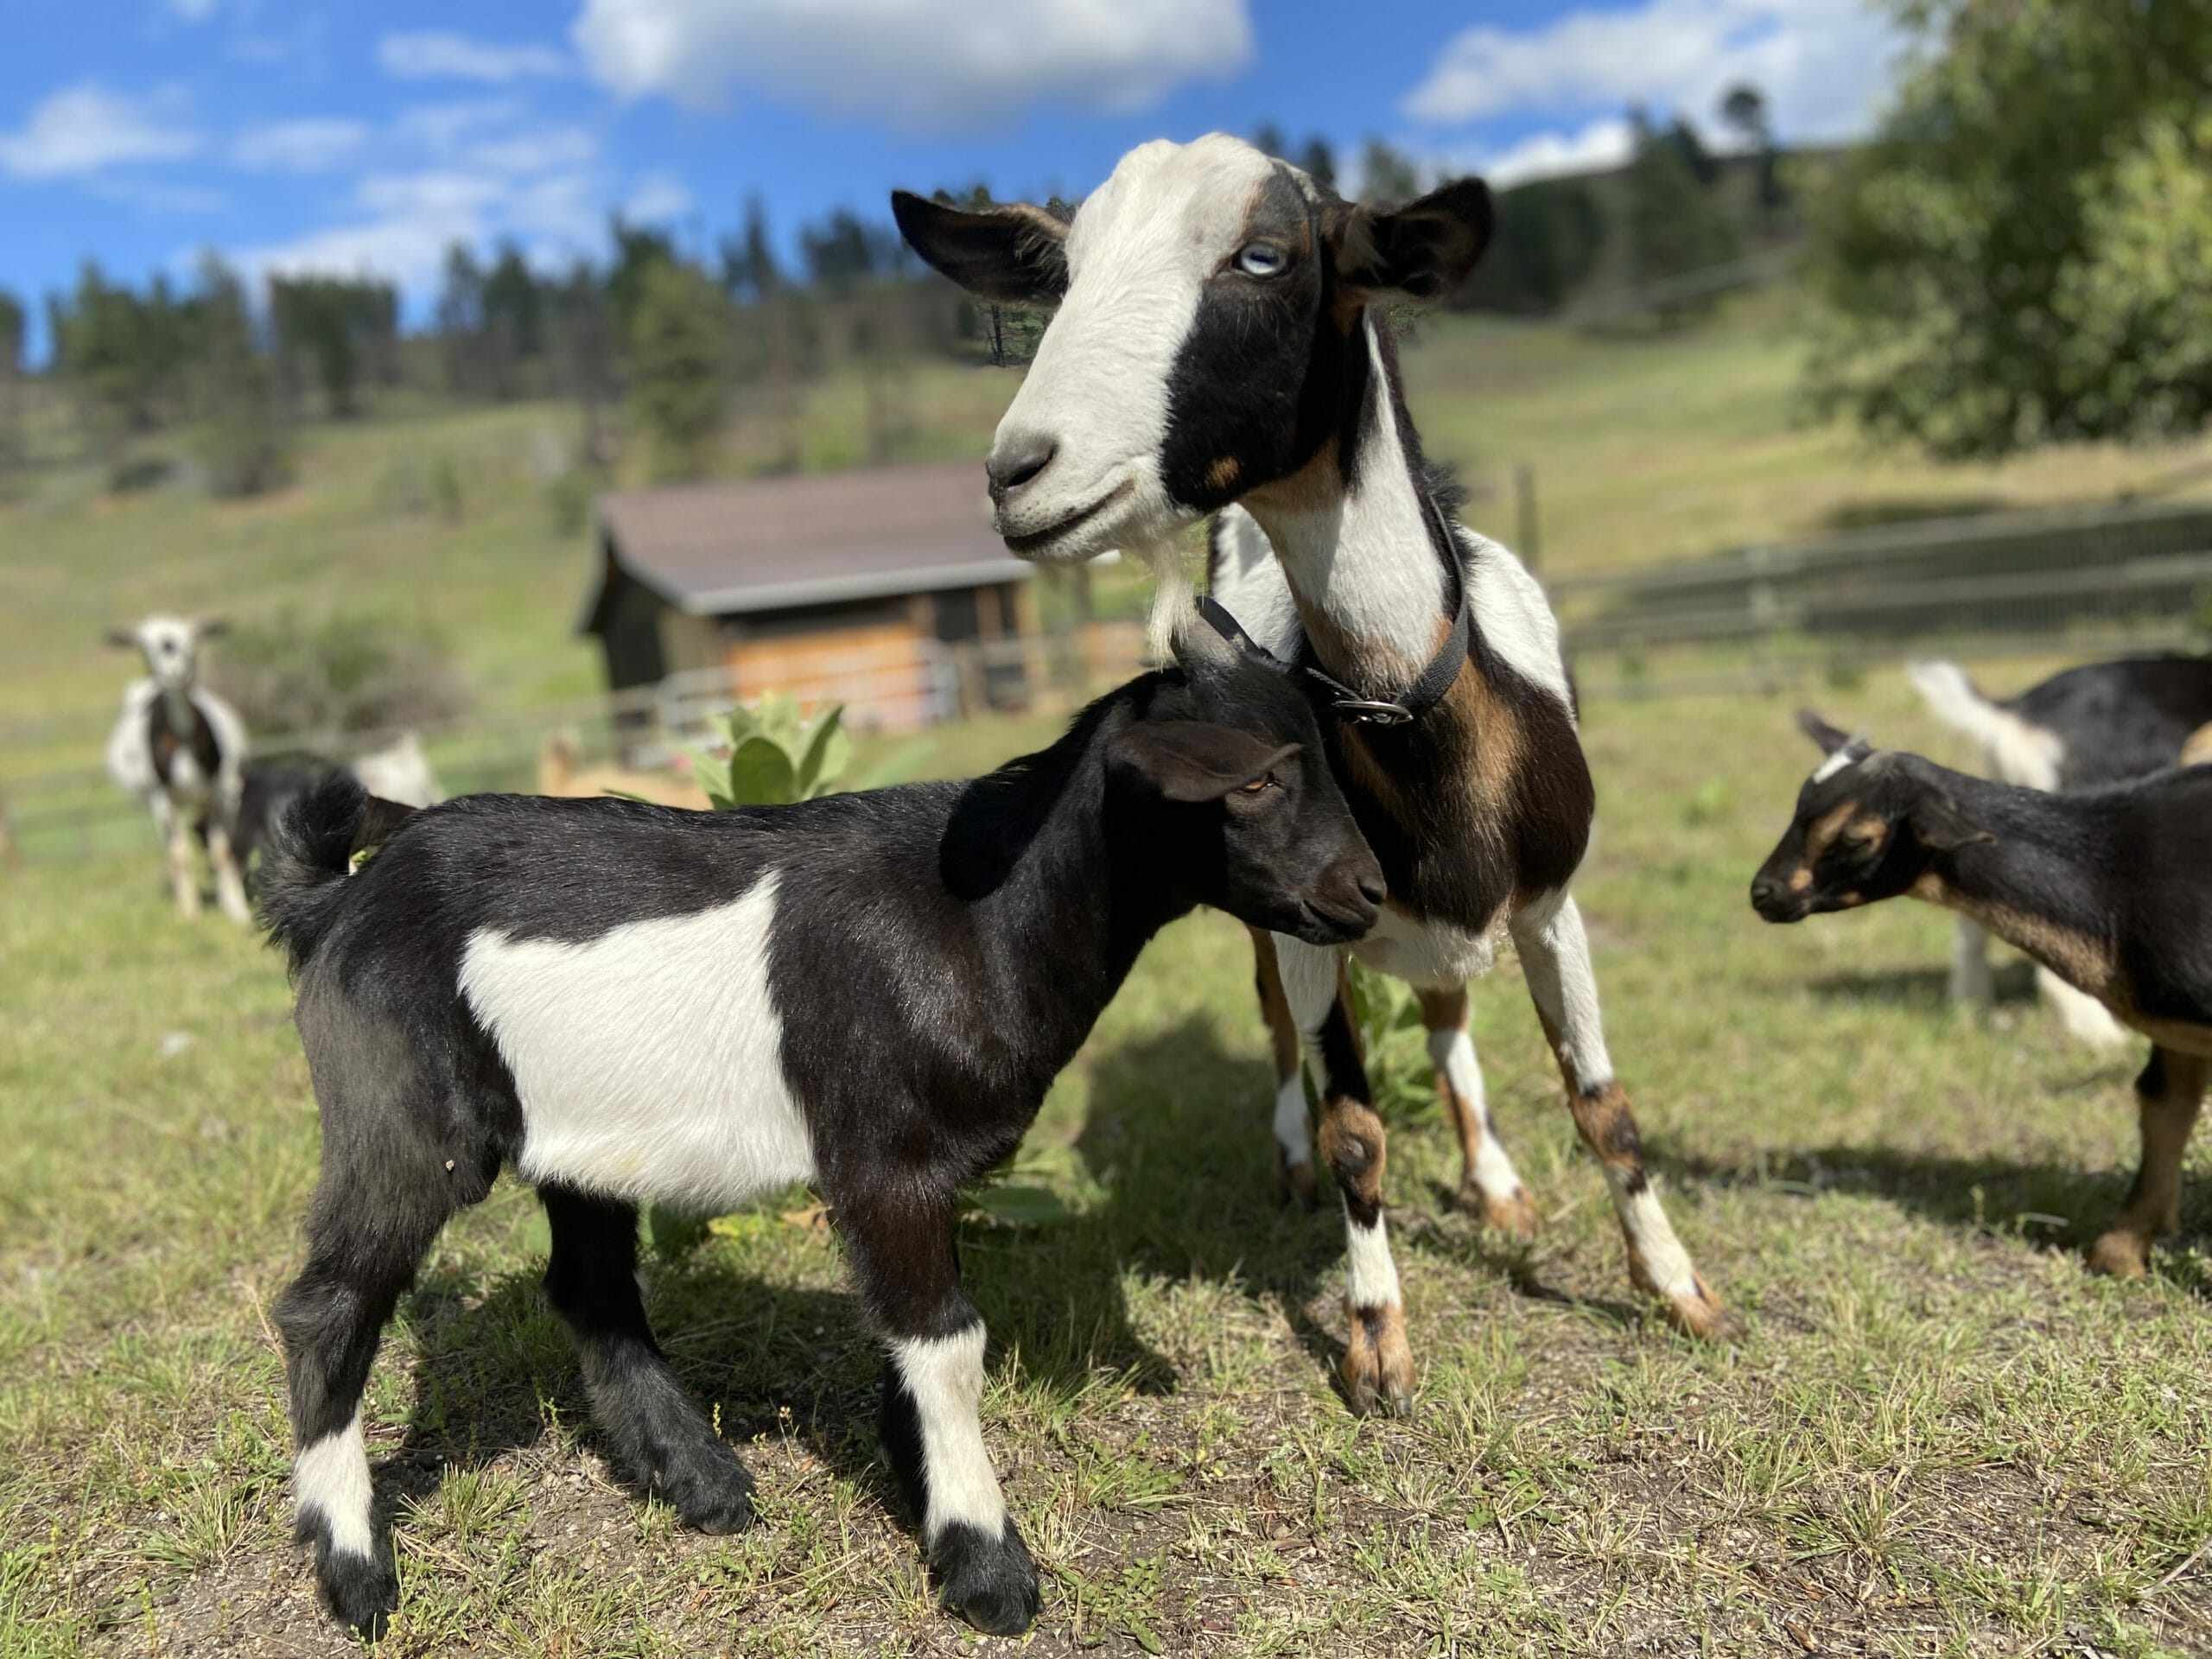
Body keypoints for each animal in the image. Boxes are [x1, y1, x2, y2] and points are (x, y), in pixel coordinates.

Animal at [103, 615, 250, 923]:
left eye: (194, 639)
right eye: (145, 647)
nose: (177, 673)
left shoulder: (222, 793)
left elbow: (222, 851)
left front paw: (237, 911)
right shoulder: (163, 798)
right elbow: (180, 856)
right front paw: (190, 913)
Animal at [258, 626, 1382, 1639]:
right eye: (1254, 780)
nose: (1365, 893)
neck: (976, 918)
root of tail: (335, 904)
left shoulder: (908, 1177)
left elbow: (904, 1330)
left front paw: (919, 1487)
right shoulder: (887, 1161)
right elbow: (948, 1340)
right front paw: (986, 1565)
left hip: (580, 1133)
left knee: (589, 1285)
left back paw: (703, 1483)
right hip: (401, 1118)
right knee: (328, 1308)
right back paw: (357, 1578)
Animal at [895, 134, 1735, 1417]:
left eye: (1263, 256)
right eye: (1067, 271)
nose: (1019, 474)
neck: (1422, 726)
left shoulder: (1553, 903)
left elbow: (1606, 1108)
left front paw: (1679, 1289)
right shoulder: (1309, 910)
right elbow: (1353, 1128)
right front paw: (1377, 1340)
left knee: (1445, 1012)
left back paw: (1492, 1180)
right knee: (1281, 1026)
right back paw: (1290, 1154)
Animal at [1751, 710, 2212, 1278]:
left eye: (1856, 838)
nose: (1763, 893)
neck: (2109, 877)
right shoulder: (2177, 1028)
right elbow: (2164, 1106)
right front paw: (2118, 1255)